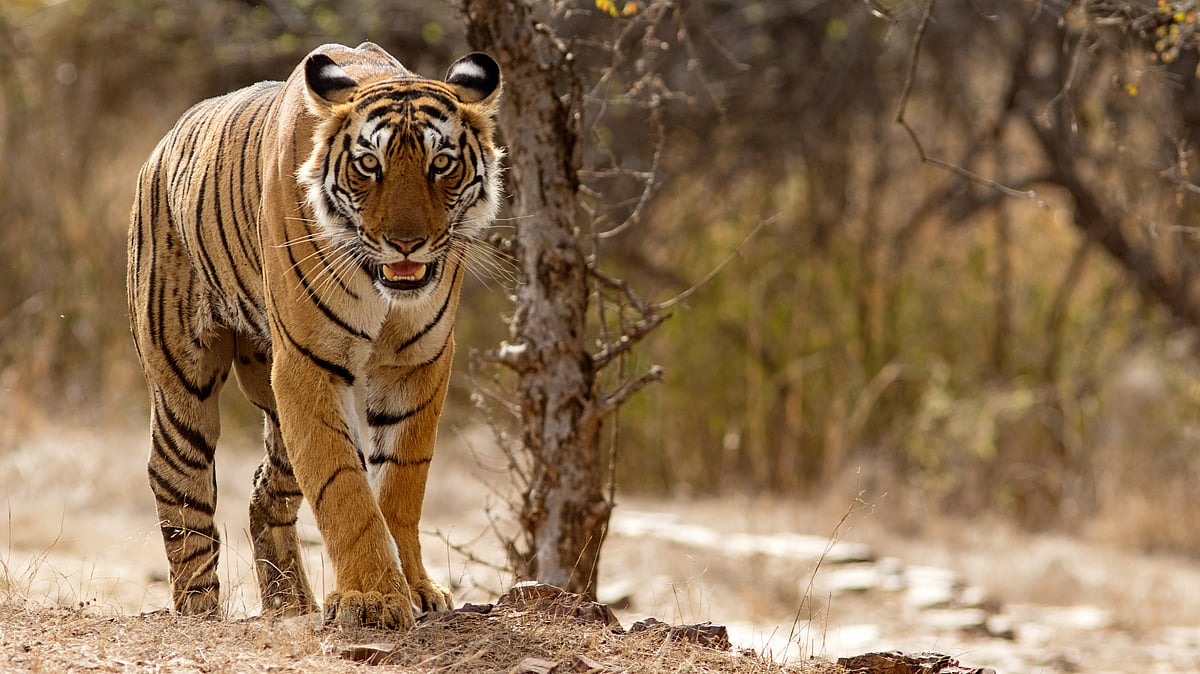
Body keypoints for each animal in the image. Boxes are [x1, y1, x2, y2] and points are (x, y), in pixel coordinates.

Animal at [126, 42, 503, 630]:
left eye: (441, 164)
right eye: (369, 165)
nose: (406, 244)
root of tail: (163, 145)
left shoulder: (418, 362)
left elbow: (400, 484)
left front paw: (416, 589)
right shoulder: (308, 364)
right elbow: (342, 485)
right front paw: (373, 598)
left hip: (274, 411)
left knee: (266, 494)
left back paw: (289, 604)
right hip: (182, 383)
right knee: (179, 487)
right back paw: (199, 612)